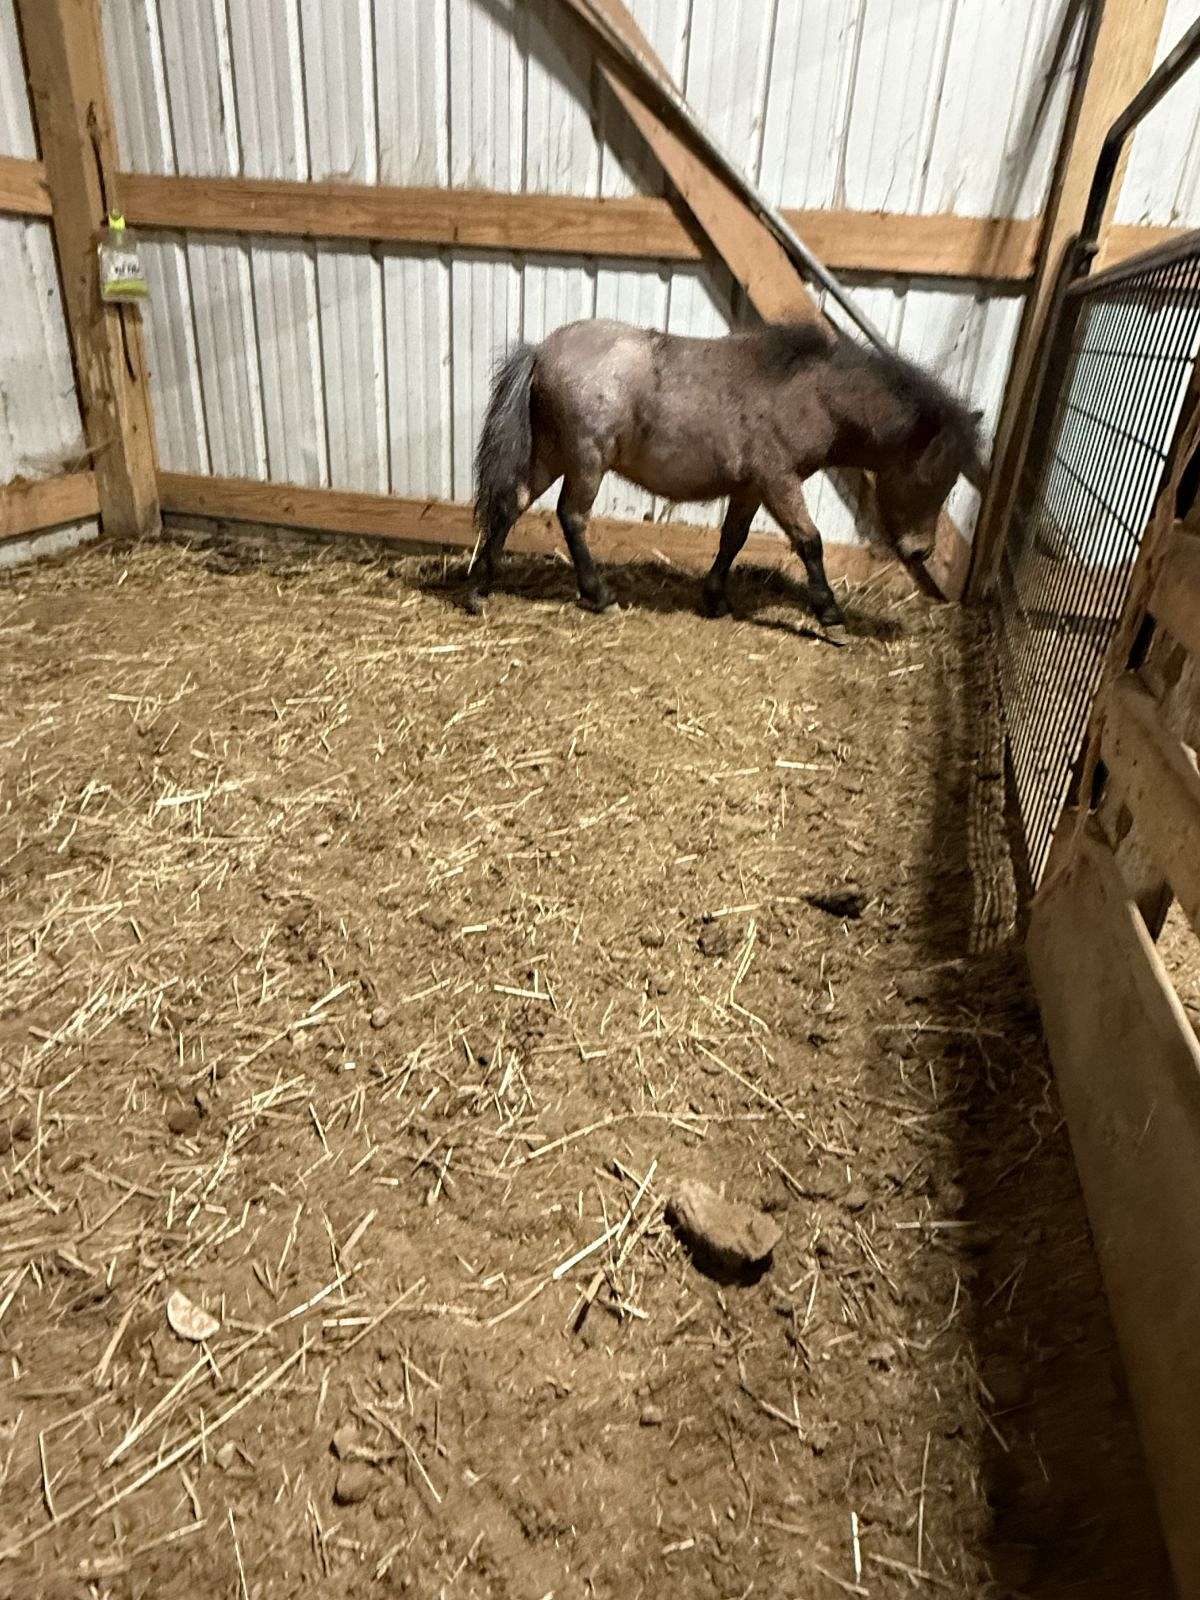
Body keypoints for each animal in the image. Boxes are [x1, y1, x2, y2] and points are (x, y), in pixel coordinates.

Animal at [465, 318, 983, 637]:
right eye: (932, 478)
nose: (922, 551)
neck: (813, 395)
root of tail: (541, 351)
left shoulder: (750, 488)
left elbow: (732, 540)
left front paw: (715, 600)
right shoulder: (778, 481)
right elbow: (809, 542)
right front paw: (829, 612)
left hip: (554, 455)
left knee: (512, 503)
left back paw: (479, 590)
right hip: (585, 462)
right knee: (572, 517)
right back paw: (598, 594)